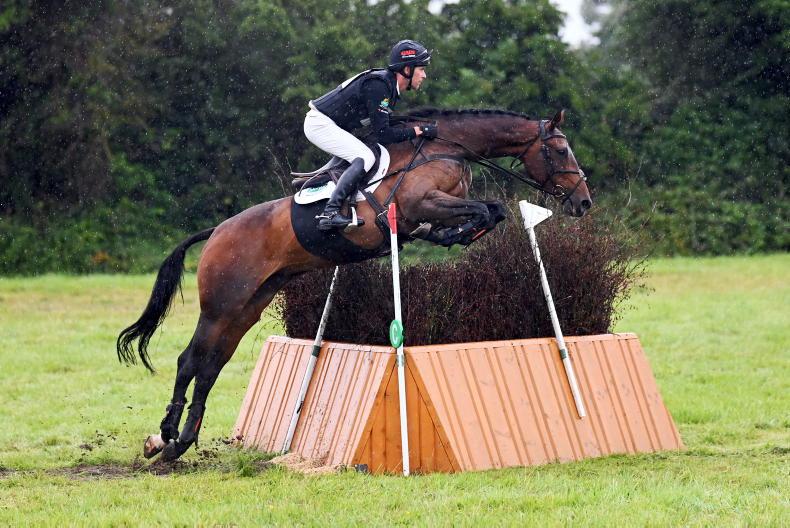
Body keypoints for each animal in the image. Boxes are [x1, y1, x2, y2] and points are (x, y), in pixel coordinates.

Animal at [117, 107, 592, 462]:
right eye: (561, 149)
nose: (584, 202)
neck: (444, 149)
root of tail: (217, 231)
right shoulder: (423, 202)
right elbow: (482, 210)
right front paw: (452, 233)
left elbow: (492, 211)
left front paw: (453, 235)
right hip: (221, 305)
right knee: (189, 361)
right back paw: (165, 436)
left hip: (249, 306)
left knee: (212, 364)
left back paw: (180, 442)